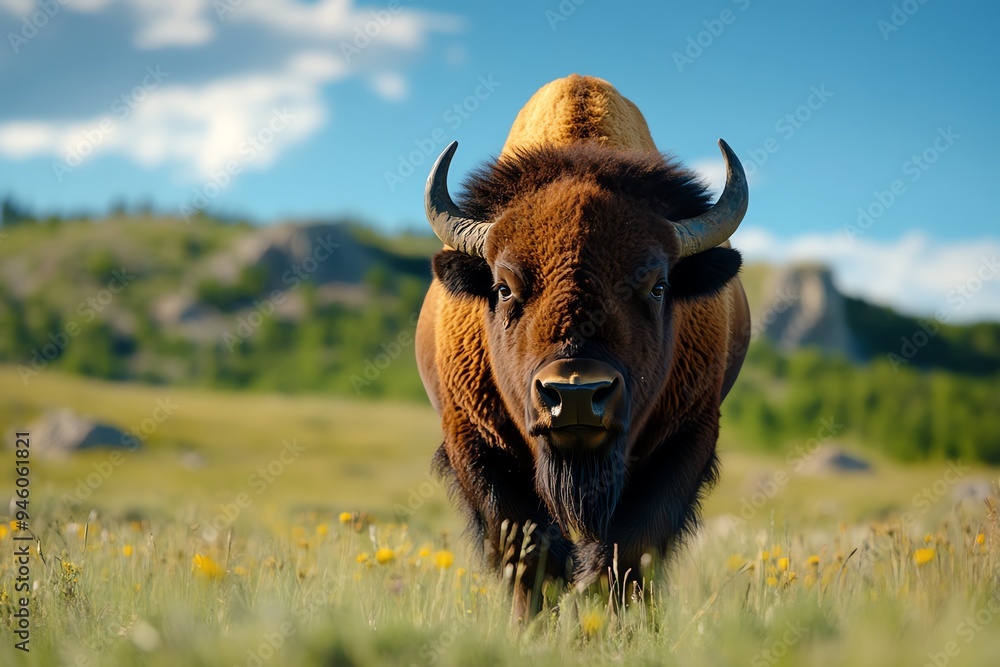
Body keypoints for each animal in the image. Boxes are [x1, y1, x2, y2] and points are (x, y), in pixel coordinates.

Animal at [415, 75, 750, 612]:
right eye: (504, 286)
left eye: (658, 286)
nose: (574, 395)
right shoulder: (474, 441)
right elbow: (529, 554)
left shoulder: (686, 437)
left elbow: (630, 554)